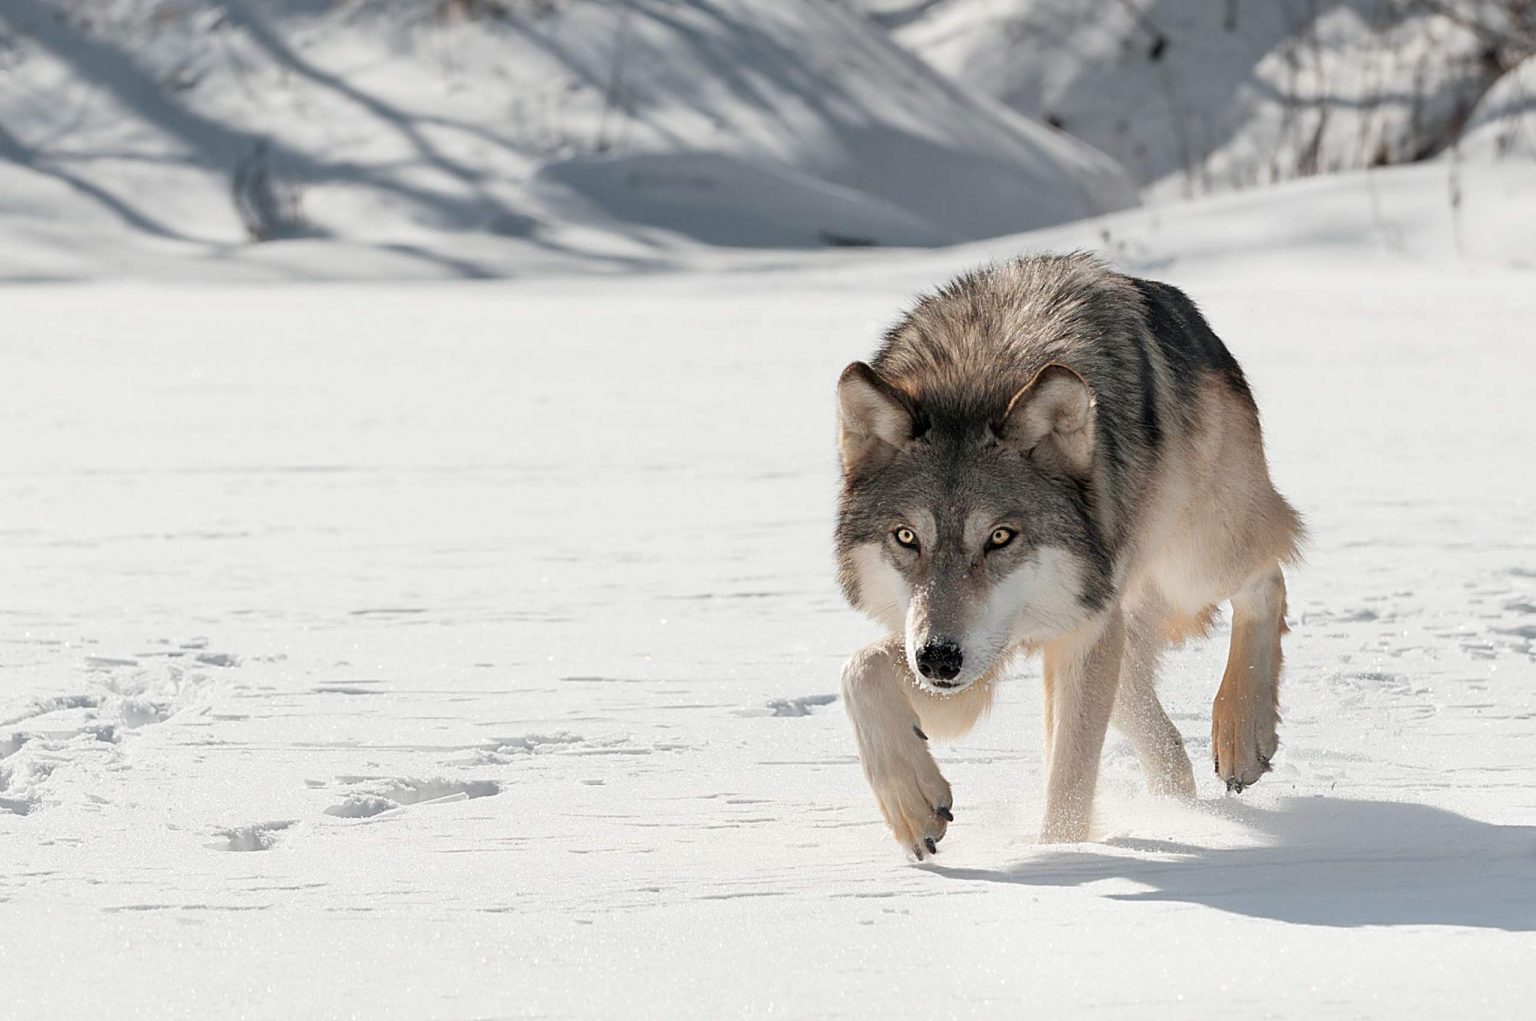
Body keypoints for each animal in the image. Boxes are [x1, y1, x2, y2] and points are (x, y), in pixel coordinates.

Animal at [835, 253, 1302, 858]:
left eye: (1001, 537)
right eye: (907, 537)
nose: (938, 659)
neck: (978, 373)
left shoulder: (1074, 631)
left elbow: (1071, 777)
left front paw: (1062, 856)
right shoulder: (974, 661)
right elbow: (859, 670)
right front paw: (913, 807)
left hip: (1192, 564)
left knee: (1268, 575)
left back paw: (1241, 736)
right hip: (1109, 623)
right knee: (1152, 725)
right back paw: (1178, 805)